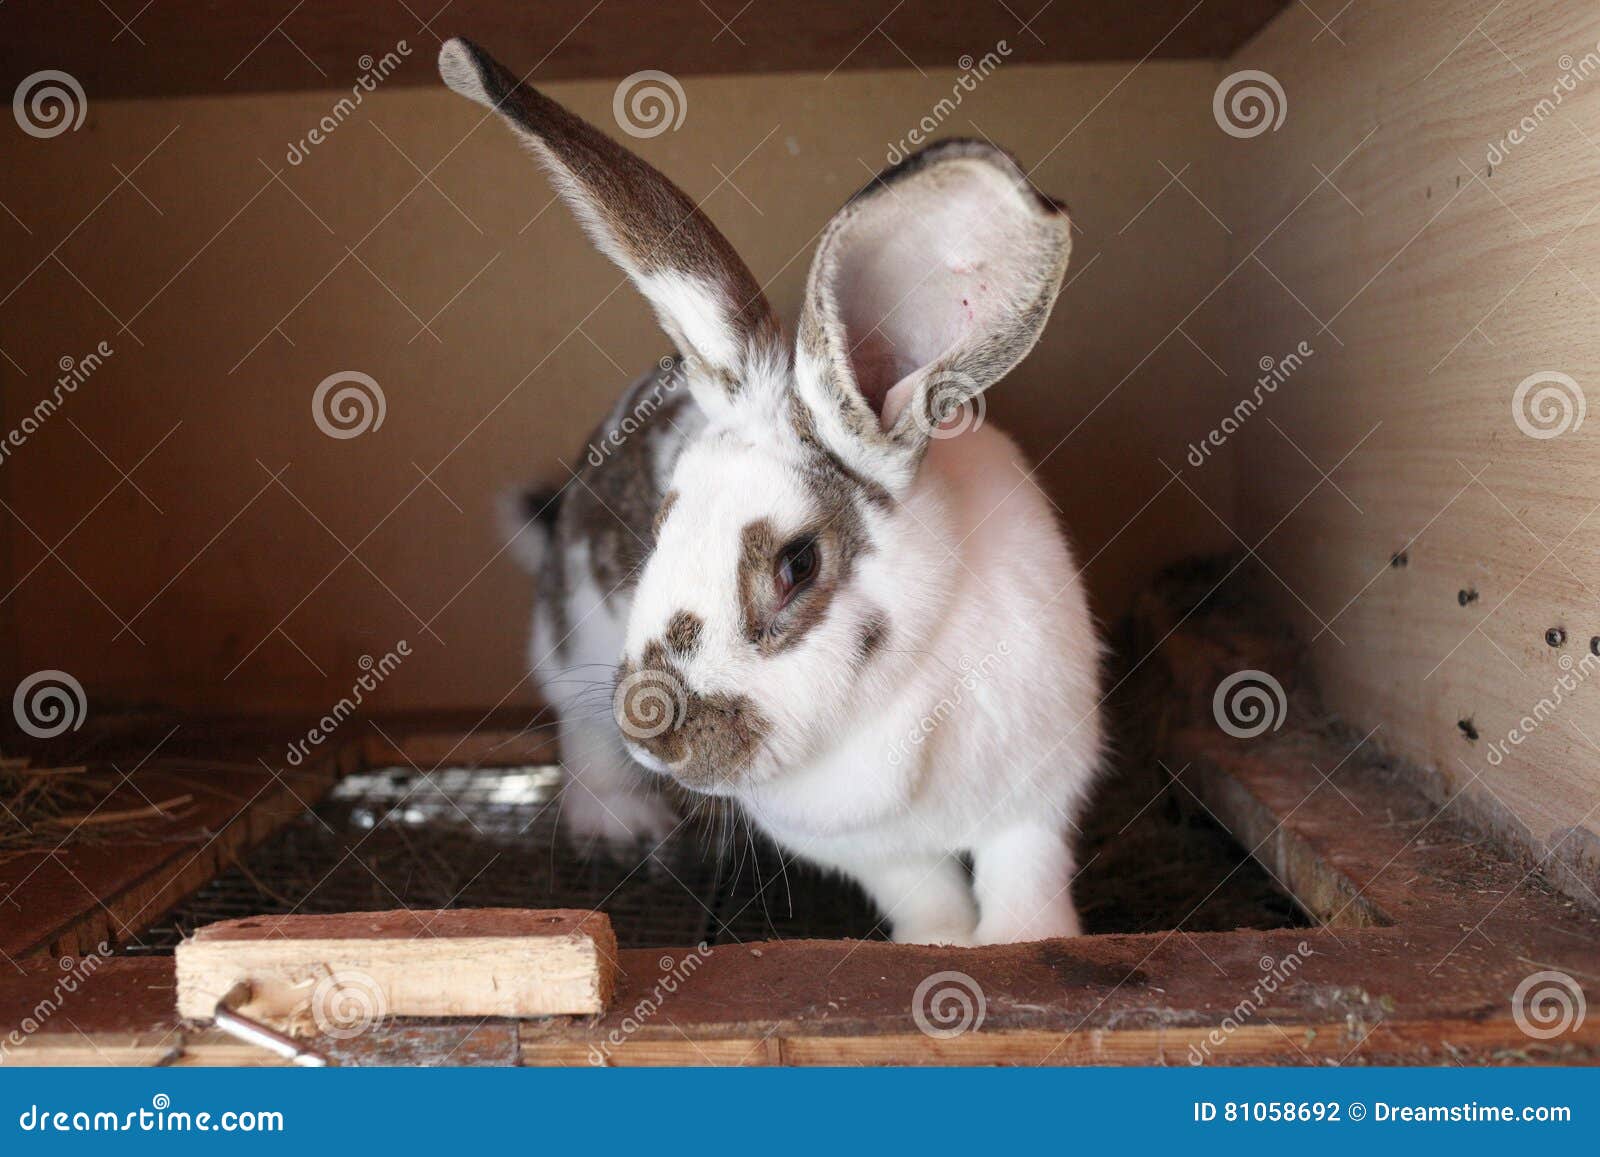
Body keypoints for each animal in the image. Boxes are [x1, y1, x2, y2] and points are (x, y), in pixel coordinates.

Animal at [443, 36, 1103, 945]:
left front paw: (1020, 944)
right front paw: (941, 946)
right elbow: (925, 894)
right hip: (569, 636)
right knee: (578, 739)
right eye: (661, 527)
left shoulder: (1036, 796)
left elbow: (1024, 880)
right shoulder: (863, 848)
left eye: (797, 565)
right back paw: (620, 827)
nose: (650, 724)